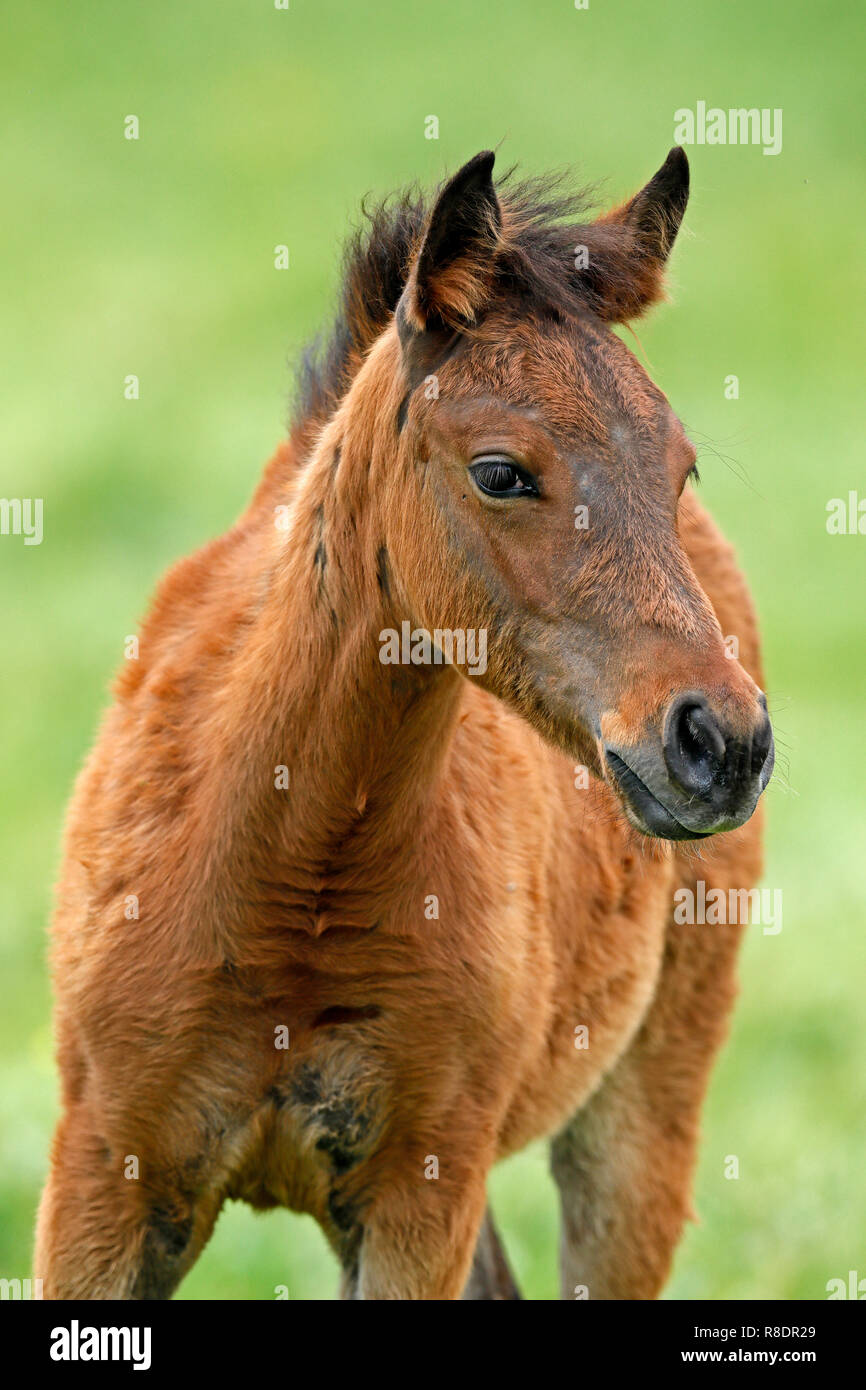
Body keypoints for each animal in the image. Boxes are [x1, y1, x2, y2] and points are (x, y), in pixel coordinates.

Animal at [35, 146, 773, 1300]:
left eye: (678, 467)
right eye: (500, 471)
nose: (722, 742)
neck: (292, 870)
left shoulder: (423, 1190)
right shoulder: (103, 1171)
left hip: (641, 1113)